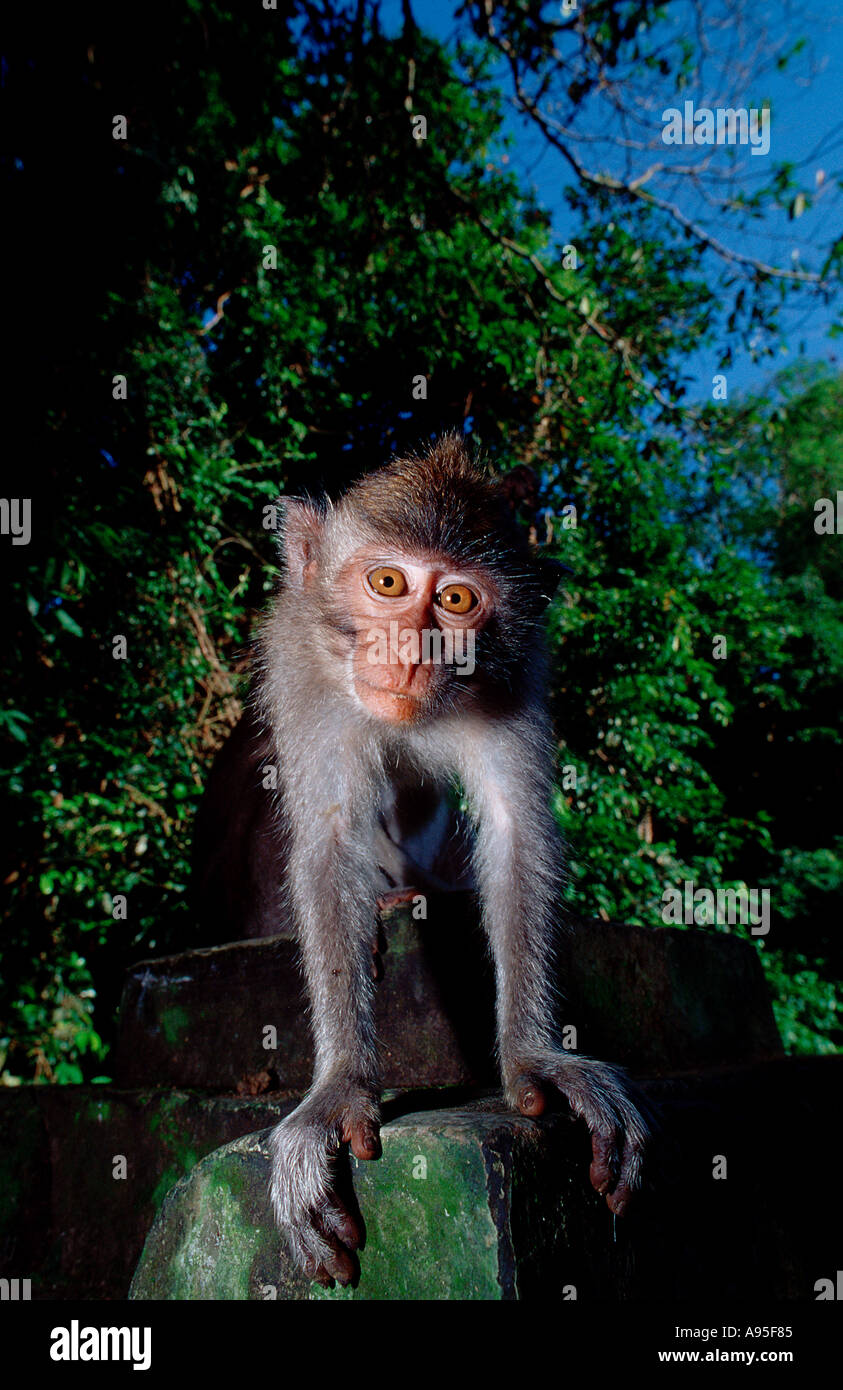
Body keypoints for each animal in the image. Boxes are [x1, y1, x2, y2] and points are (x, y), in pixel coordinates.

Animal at [249, 433, 649, 1286]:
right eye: (387, 583)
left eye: (457, 602)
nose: (410, 650)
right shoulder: (303, 668)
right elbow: (330, 840)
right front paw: (340, 1085)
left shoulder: (516, 672)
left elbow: (515, 829)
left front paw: (534, 1057)